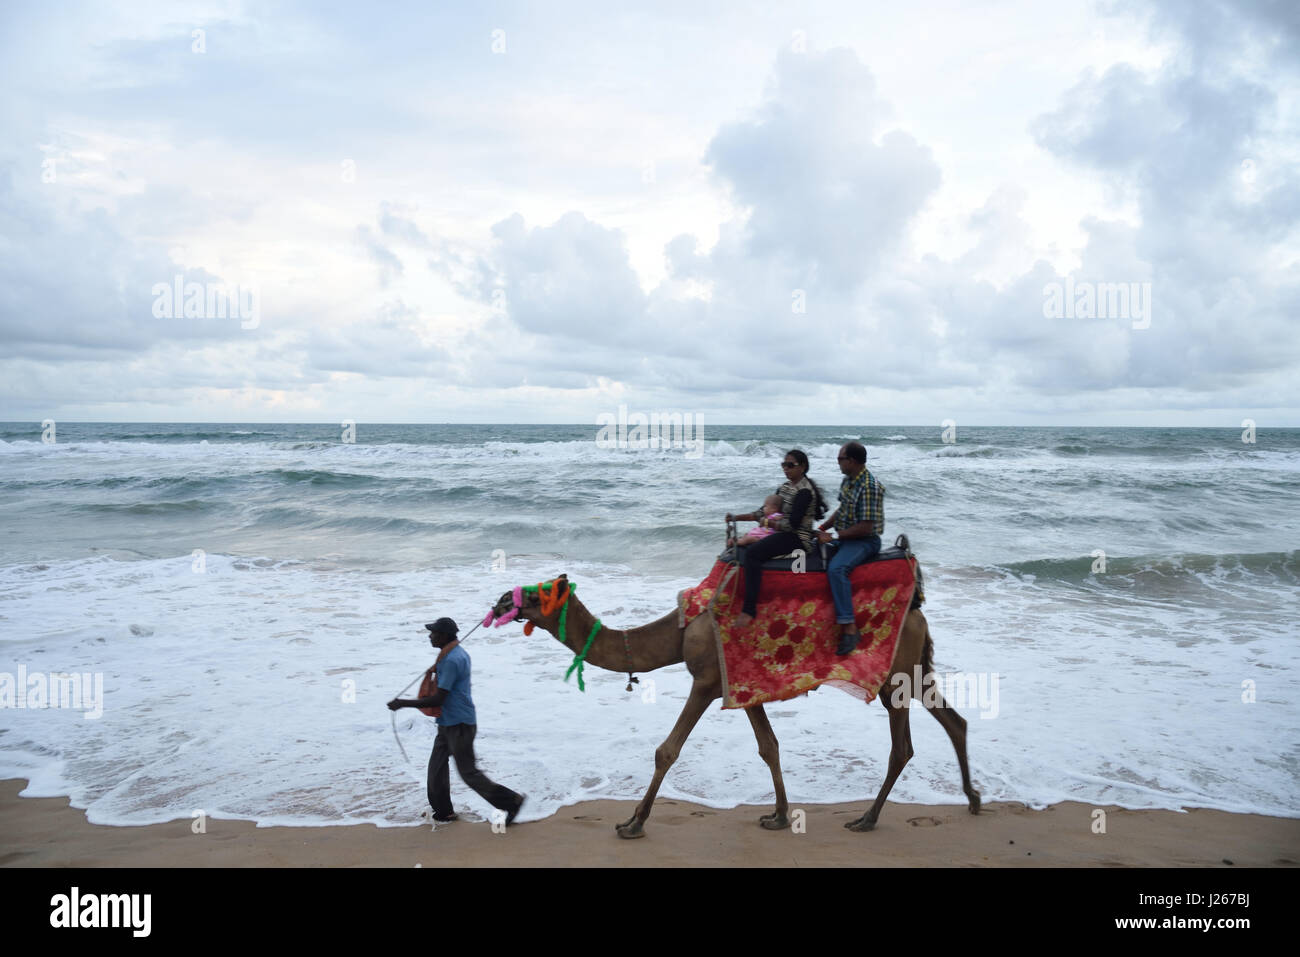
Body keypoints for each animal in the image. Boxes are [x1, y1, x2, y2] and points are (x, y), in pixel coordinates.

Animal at [491, 571, 980, 839]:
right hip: (913, 670)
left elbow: (667, 750)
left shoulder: (707, 681)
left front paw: (632, 823)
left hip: (894, 676)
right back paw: (973, 799)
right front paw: (779, 815)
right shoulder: (744, 689)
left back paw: (867, 818)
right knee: (954, 721)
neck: (680, 631)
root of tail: (919, 613)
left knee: (903, 746)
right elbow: (769, 746)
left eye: (535, 595)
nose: (499, 601)